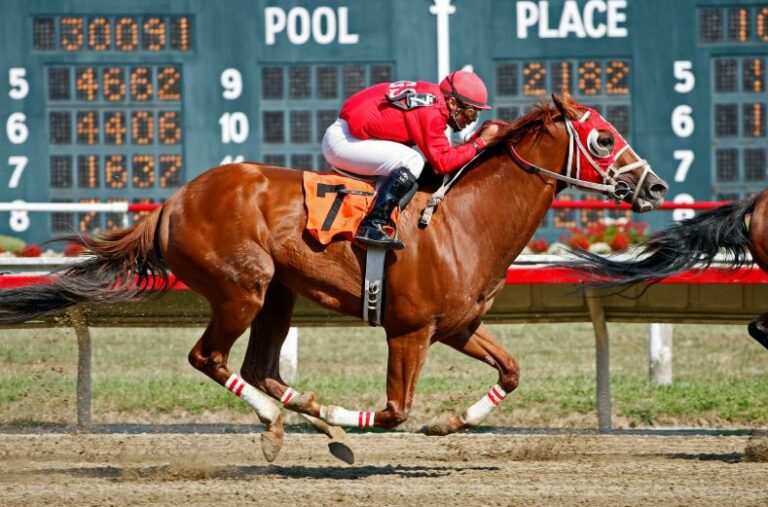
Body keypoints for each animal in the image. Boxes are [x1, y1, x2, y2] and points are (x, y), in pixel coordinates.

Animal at [0, 94, 668, 463]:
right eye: (603, 138)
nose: (656, 186)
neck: (463, 220)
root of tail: (170, 203)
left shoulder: (458, 326)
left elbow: (511, 371)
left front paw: (448, 422)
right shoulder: (409, 331)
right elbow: (394, 412)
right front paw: (358, 427)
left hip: (278, 294)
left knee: (258, 367)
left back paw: (307, 416)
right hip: (243, 288)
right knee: (209, 358)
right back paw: (280, 425)